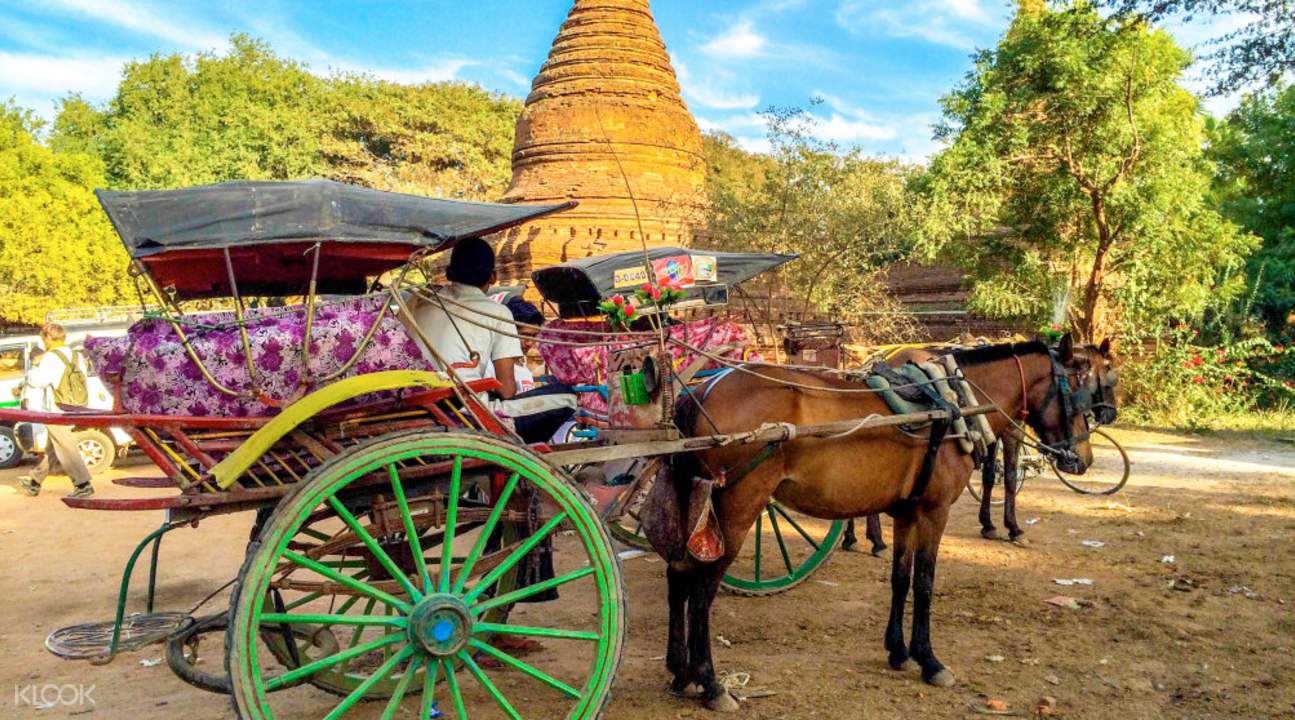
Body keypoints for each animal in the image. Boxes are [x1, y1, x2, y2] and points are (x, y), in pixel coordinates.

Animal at [657, 335, 1115, 711]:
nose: (1084, 459)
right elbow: (926, 583)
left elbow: (901, 578)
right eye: (1078, 392)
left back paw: (681, 673)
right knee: (701, 590)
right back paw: (711, 682)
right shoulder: (934, 511)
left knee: (677, 575)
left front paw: (898, 650)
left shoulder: (907, 512)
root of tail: (702, 390)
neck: (956, 402)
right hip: (736, 508)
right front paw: (929, 660)